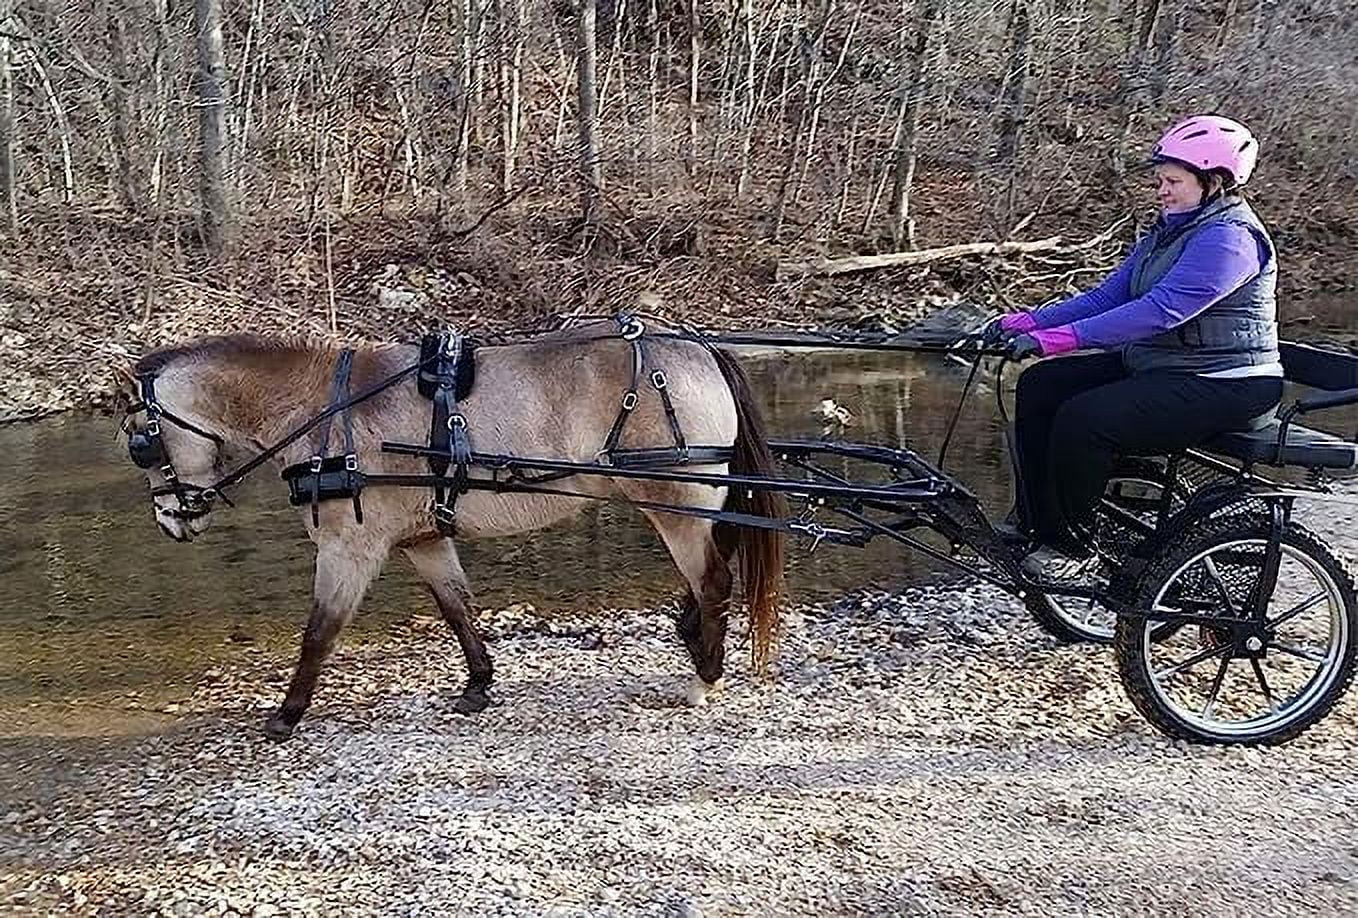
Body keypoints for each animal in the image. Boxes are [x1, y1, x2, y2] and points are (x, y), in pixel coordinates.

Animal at [114, 318, 786, 740]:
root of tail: (701, 348)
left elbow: (318, 633)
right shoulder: (425, 539)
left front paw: (287, 714)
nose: (170, 519)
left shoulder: (348, 548)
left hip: (677, 505)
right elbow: (457, 609)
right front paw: (479, 684)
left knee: (714, 581)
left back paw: (703, 676)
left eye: (141, 441)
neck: (322, 412)